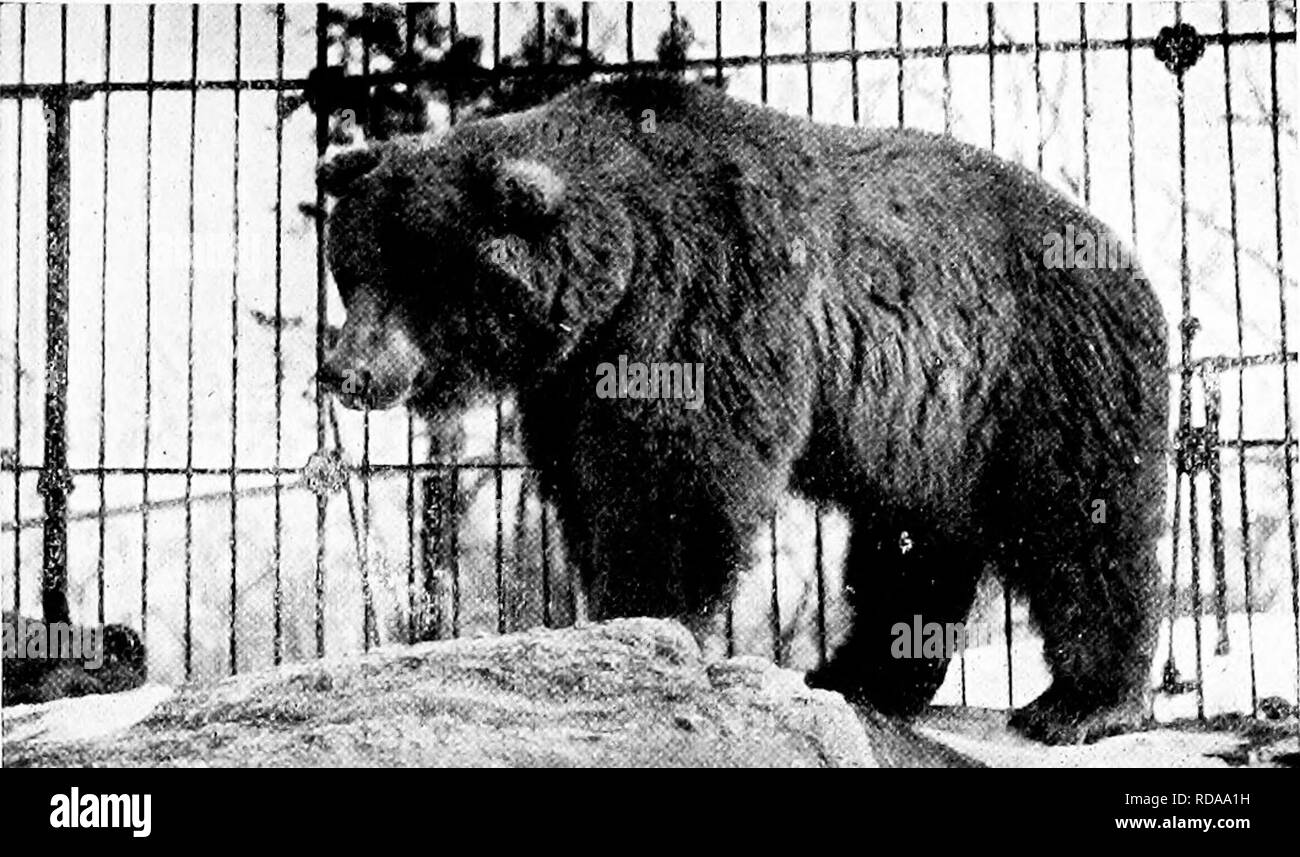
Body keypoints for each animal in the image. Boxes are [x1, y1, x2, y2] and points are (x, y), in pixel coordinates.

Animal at [316, 77, 1169, 745]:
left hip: (1038, 368)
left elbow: (676, 482)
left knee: (1081, 523)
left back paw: (1080, 702)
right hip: (926, 430)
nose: (343, 371)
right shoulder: (571, 381)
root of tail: (1120, 247)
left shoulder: (708, 298)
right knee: (909, 545)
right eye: (349, 268)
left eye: (414, 274)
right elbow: (590, 486)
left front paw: (648, 627)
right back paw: (856, 672)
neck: (615, 275)